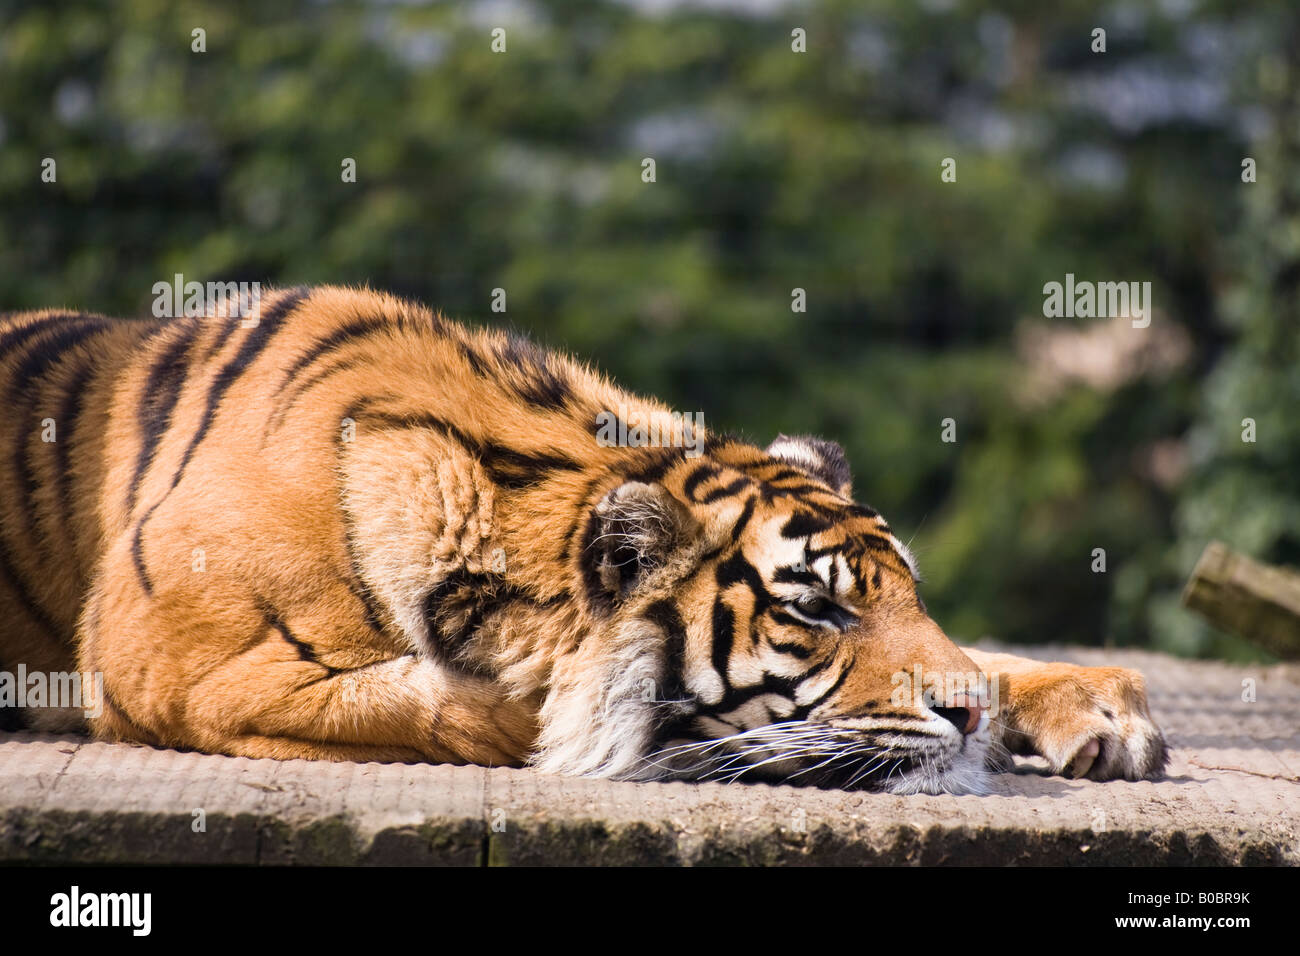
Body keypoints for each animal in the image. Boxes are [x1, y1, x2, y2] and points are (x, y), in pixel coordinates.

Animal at [0, 285, 1167, 793]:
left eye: (907, 597)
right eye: (816, 610)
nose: (964, 722)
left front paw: (1099, 705)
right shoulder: (184, 670)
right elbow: (463, 706)